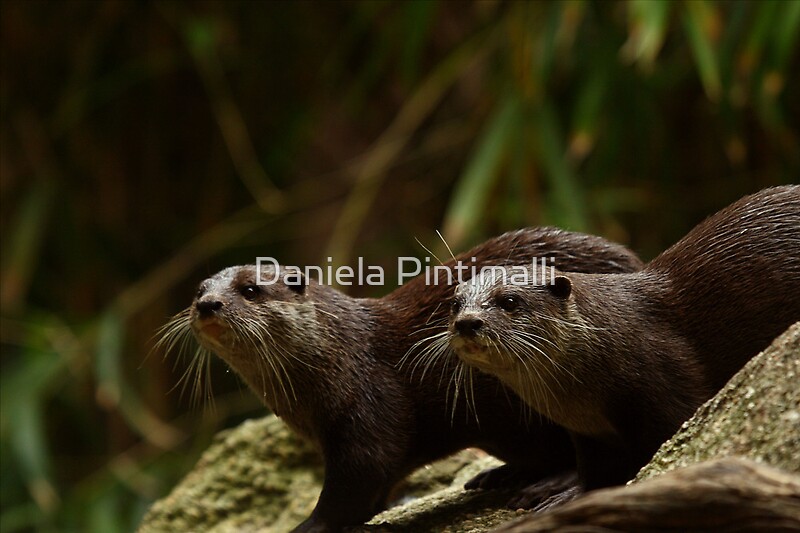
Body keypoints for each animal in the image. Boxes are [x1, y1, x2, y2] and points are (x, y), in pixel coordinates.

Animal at [159, 227, 643, 532]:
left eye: (250, 289)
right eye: (199, 289)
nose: (208, 305)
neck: (339, 359)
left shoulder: (369, 408)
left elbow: (355, 483)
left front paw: (309, 524)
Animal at [447, 186, 800, 492]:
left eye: (509, 301)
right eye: (456, 303)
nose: (467, 322)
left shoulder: (665, 386)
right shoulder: (587, 435)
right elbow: (594, 471)